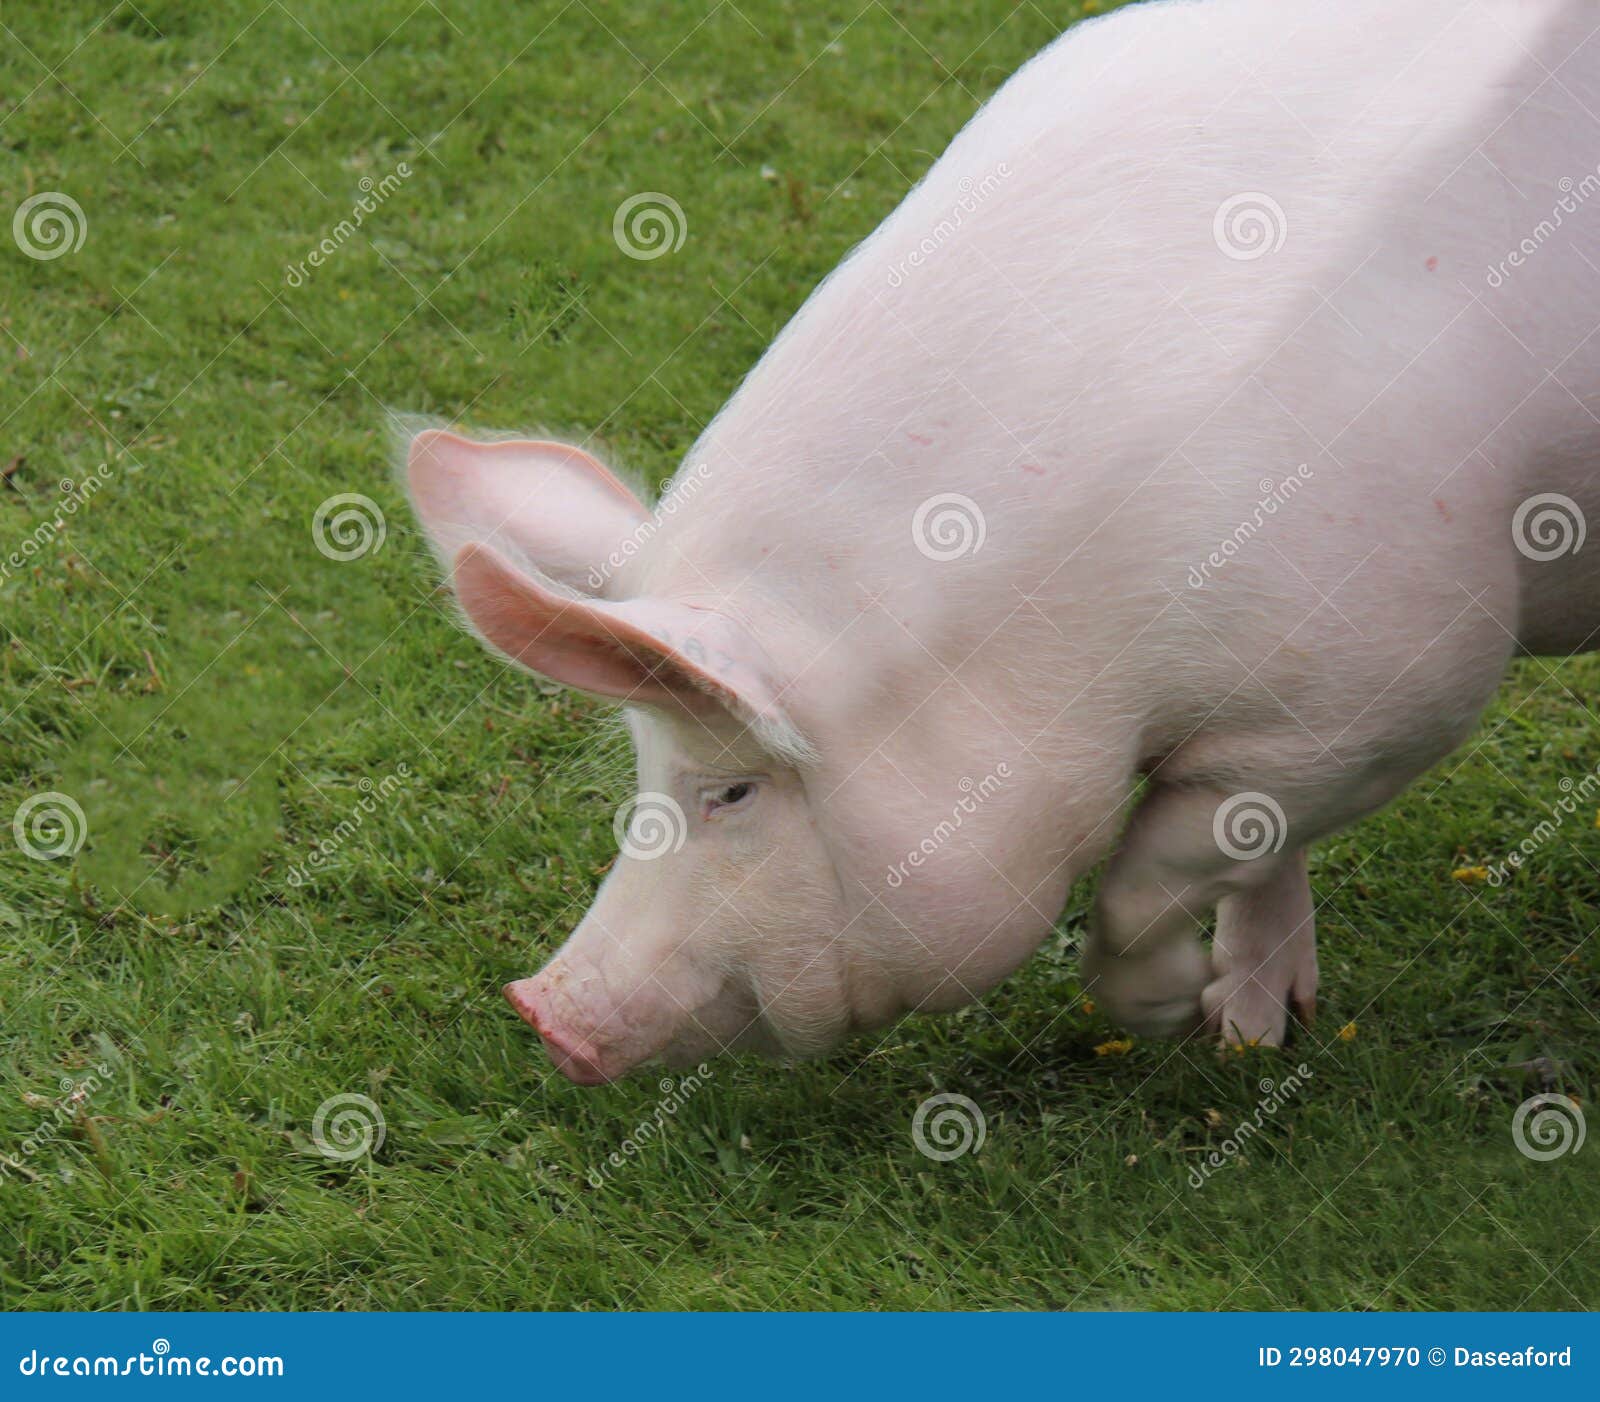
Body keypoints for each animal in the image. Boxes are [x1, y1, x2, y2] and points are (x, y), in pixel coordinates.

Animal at [406, 0, 1600, 1082]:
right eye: (643, 773)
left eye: (730, 792)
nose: (540, 1008)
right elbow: (1260, 855)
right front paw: (1252, 1032)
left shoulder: (1397, 682)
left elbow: (1153, 872)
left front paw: (1179, 1016)